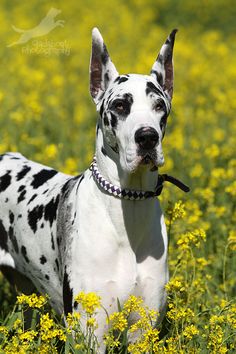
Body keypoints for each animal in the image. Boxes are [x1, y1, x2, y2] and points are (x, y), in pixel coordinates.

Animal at [0, 28, 188, 352]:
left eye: (159, 106)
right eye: (120, 106)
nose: (147, 137)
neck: (128, 209)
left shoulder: (143, 331)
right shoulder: (88, 334)